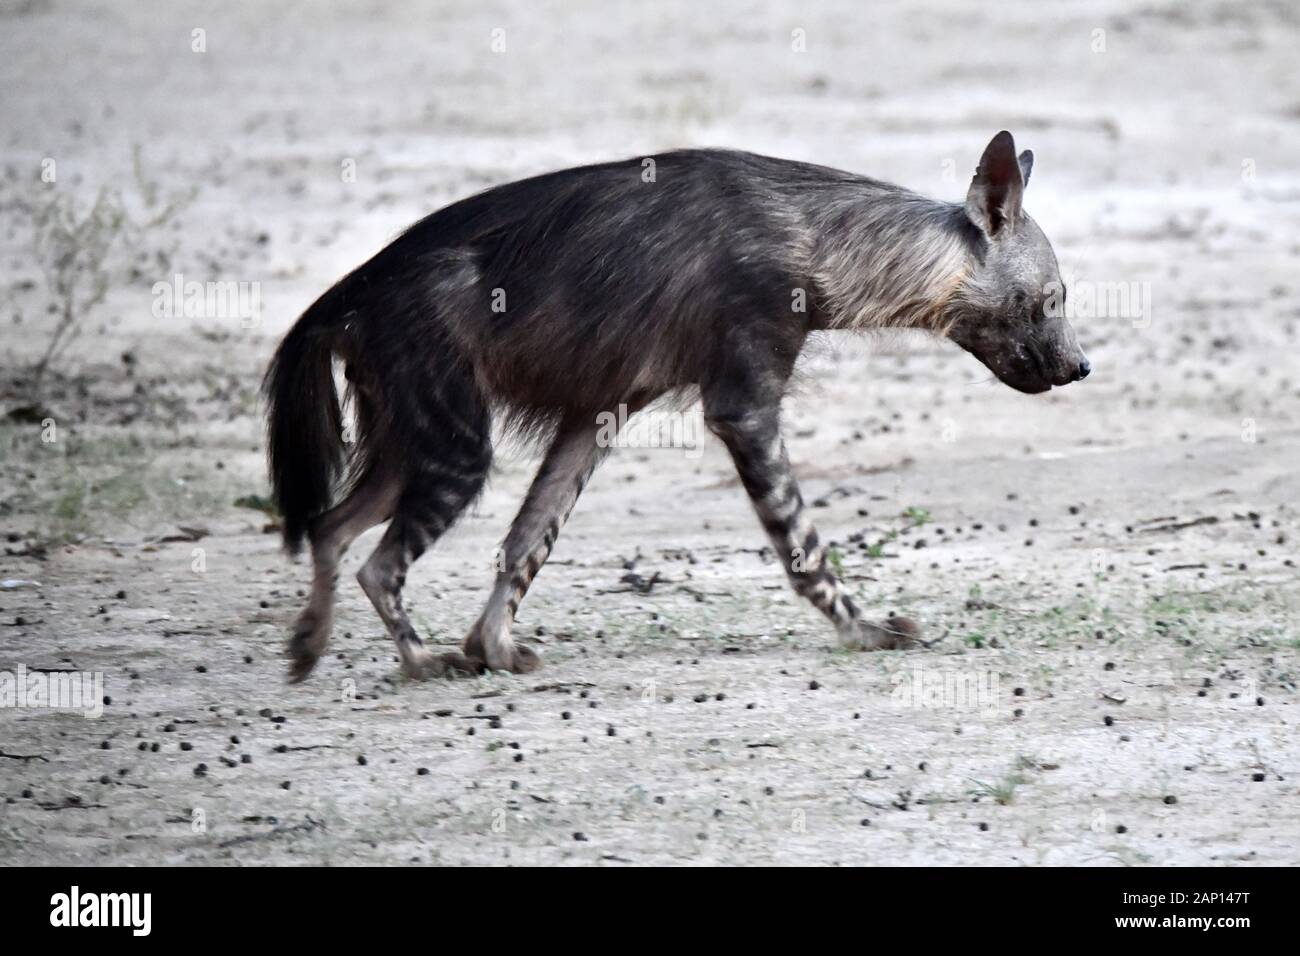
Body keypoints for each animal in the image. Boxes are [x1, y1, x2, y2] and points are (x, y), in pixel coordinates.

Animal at [264, 130, 1089, 683]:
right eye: (1052, 299)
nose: (1082, 365)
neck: (822, 246)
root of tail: (349, 290)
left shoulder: (597, 416)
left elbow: (529, 540)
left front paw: (492, 647)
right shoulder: (744, 402)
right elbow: (802, 545)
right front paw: (868, 631)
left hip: (414, 435)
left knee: (331, 526)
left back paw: (310, 645)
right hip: (455, 445)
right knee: (377, 562)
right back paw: (419, 661)